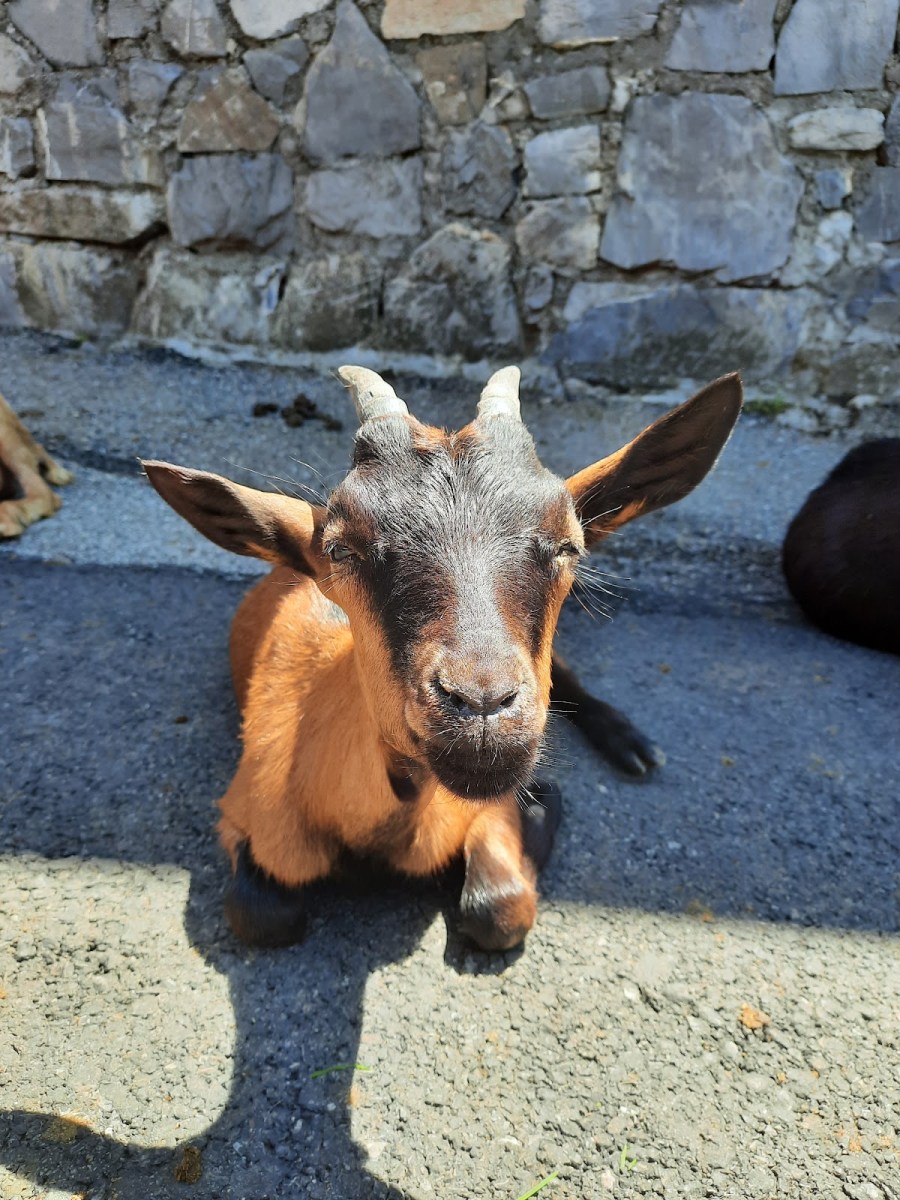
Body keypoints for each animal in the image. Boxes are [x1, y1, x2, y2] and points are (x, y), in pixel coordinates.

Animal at [144, 366, 742, 951]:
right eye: (340, 549)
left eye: (569, 544)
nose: (481, 705)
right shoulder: (245, 817)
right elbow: (261, 915)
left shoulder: (486, 808)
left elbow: (498, 908)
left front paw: (541, 806)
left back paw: (631, 743)